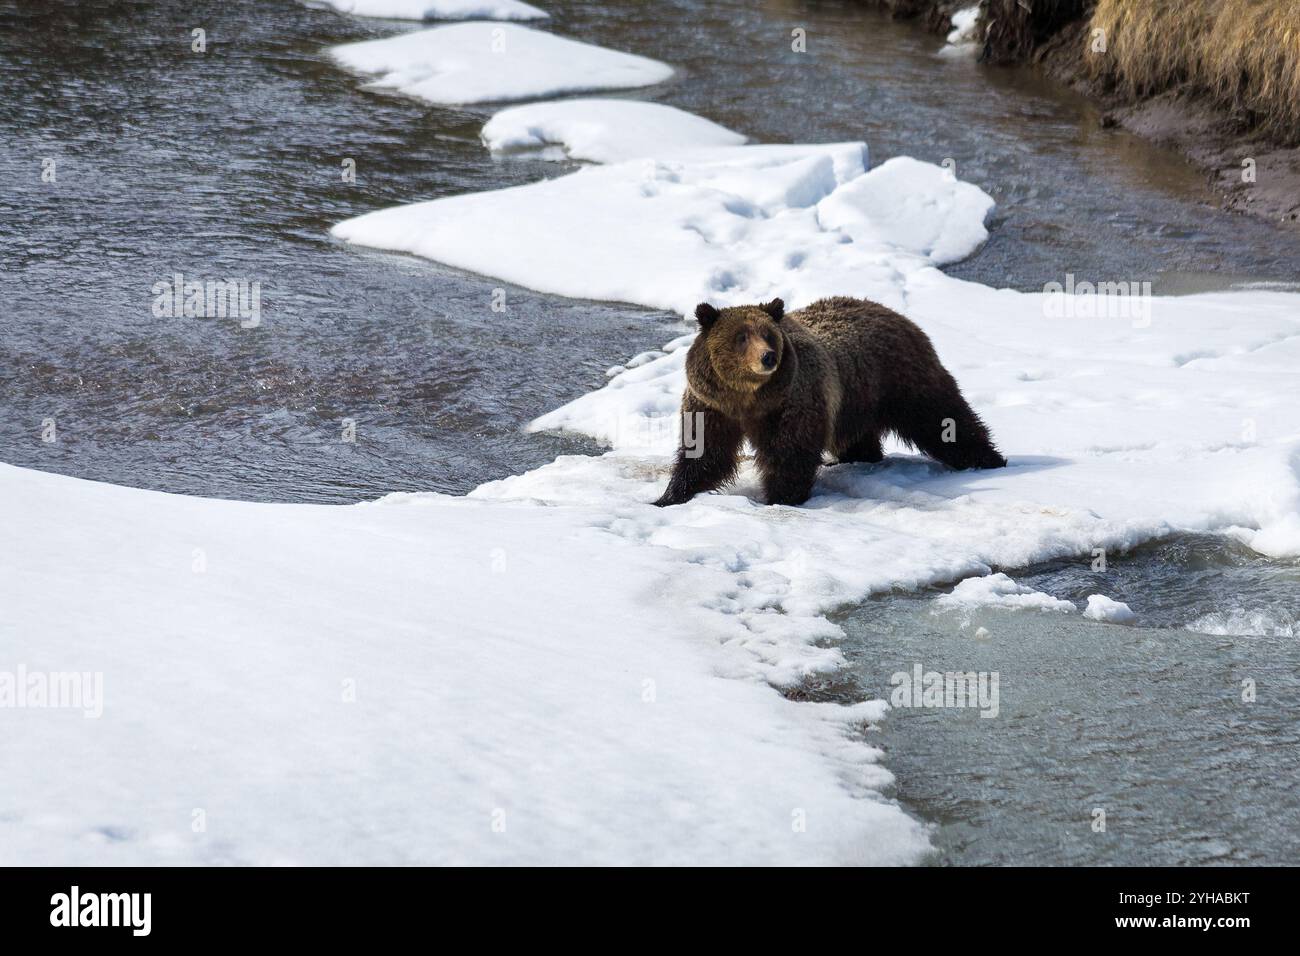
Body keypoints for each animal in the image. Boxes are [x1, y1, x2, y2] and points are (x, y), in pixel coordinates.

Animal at [653, 296, 1006, 507]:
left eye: (767, 335)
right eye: (741, 337)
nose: (767, 357)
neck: (748, 398)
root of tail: (895, 313)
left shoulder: (792, 403)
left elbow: (789, 454)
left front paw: (780, 497)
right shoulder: (712, 406)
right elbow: (705, 453)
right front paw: (670, 496)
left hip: (903, 380)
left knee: (943, 418)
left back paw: (988, 458)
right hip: (856, 399)